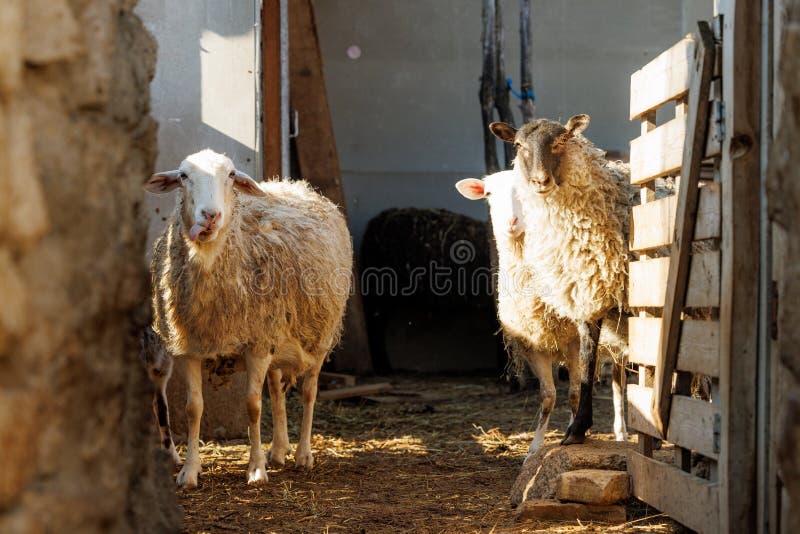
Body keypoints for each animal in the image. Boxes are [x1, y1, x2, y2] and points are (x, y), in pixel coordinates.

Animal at [144, 149, 352, 488]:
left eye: (231, 175)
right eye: (184, 176)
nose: (210, 215)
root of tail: (296, 184)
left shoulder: (257, 345)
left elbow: (253, 406)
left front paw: (255, 469)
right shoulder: (189, 347)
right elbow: (193, 408)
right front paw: (189, 471)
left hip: (319, 337)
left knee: (309, 392)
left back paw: (303, 454)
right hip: (276, 337)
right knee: (277, 390)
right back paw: (278, 450)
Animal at [455, 171, 627, 454]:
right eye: (488, 193)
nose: (511, 222)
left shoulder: (574, 343)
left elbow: (575, 393)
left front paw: (575, 433)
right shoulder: (532, 345)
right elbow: (548, 397)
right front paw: (534, 449)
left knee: (619, 382)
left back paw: (622, 432)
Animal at [489, 115, 632, 445]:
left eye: (560, 142)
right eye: (519, 145)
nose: (540, 181)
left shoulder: (595, 291)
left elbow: (586, 365)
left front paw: (578, 429)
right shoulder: (581, 297)